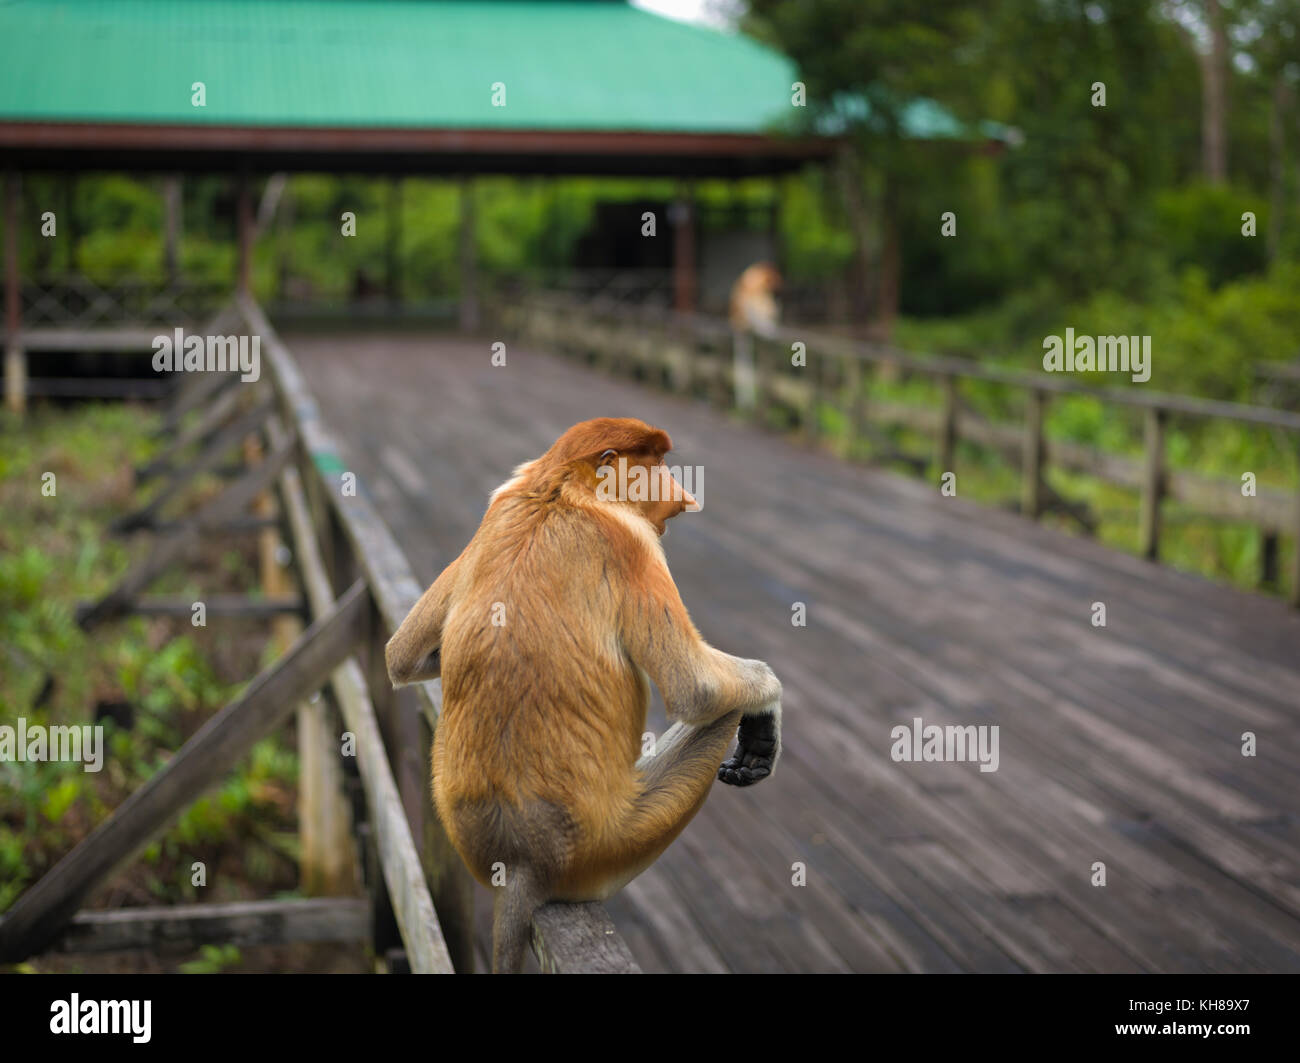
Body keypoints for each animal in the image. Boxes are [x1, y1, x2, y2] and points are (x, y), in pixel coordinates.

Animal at [386, 417, 782, 972]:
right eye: (656, 463)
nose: (681, 496)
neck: (559, 489)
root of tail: (522, 860)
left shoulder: (500, 502)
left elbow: (402, 656)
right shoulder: (631, 543)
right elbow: (695, 688)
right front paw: (766, 706)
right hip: (612, 846)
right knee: (713, 713)